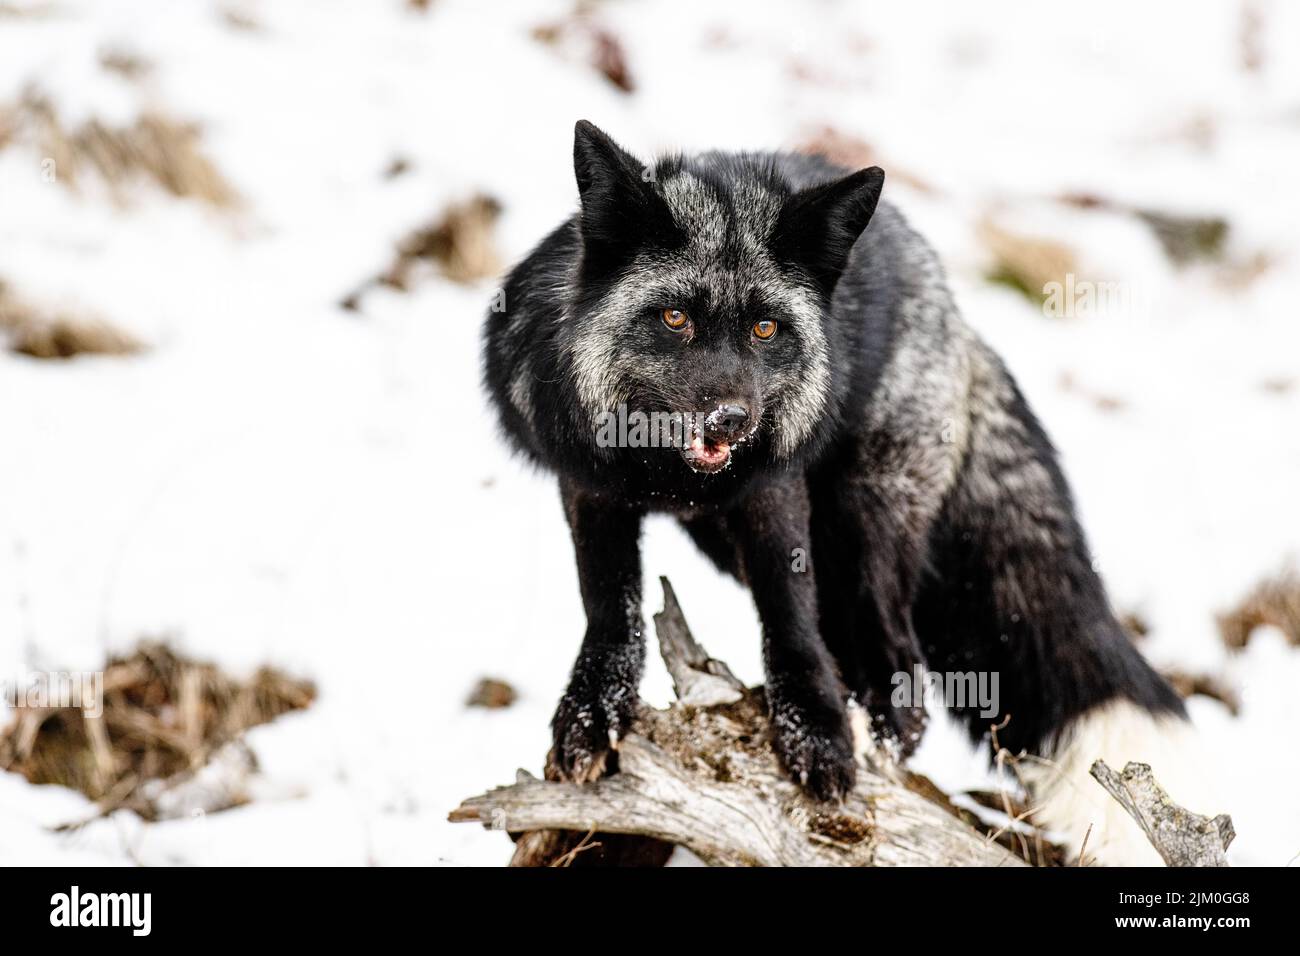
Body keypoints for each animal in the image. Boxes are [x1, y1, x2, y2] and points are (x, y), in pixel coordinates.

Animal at [483, 120, 1207, 865]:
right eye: (675, 318)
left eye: (765, 328)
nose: (730, 419)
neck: (662, 471)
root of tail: (951, 302)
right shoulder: (590, 487)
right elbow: (610, 606)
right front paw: (592, 713)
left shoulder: (773, 488)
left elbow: (788, 614)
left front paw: (816, 731)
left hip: (867, 523)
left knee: (898, 664)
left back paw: (880, 725)